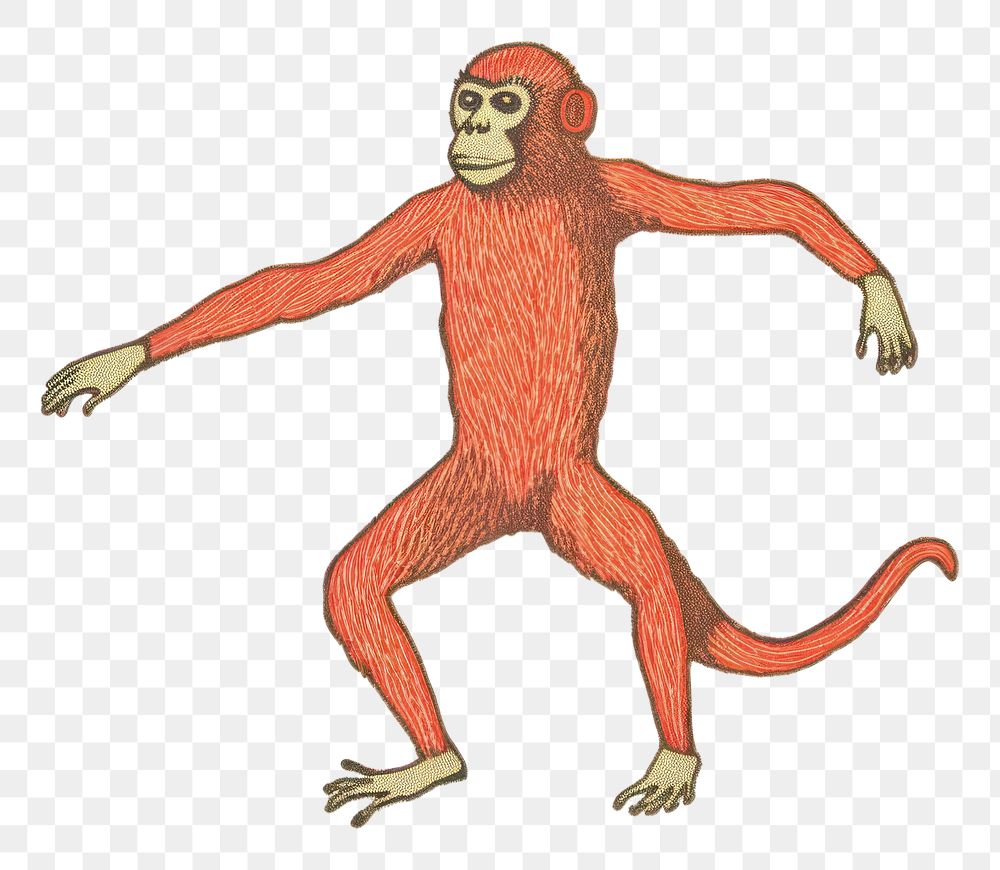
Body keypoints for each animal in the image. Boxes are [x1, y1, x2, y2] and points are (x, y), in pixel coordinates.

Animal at [41, 43, 957, 827]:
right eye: (469, 98)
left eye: (507, 102)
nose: (473, 128)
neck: (521, 189)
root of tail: (523, 509)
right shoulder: (427, 211)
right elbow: (302, 286)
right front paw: (121, 359)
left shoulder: (619, 185)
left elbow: (761, 201)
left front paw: (879, 287)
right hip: (466, 493)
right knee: (358, 586)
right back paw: (436, 762)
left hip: (575, 501)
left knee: (649, 584)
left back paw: (668, 749)